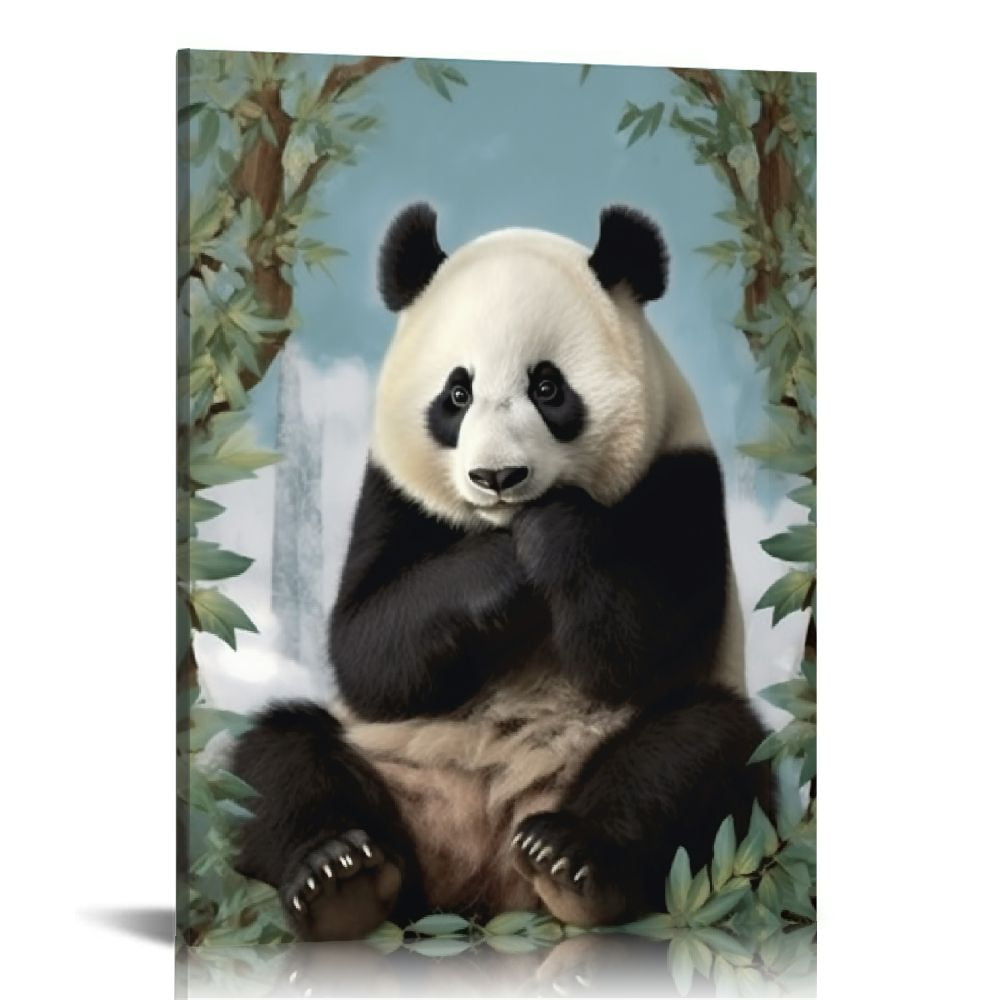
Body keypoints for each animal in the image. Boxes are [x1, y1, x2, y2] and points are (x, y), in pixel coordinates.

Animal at [231, 203, 772, 941]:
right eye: (457, 393)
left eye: (548, 387)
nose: (497, 477)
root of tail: (481, 871)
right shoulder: (392, 492)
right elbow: (366, 650)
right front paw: (499, 567)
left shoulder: (680, 473)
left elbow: (651, 647)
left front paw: (551, 536)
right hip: (386, 768)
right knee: (276, 756)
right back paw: (339, 876)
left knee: (700, 748)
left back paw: (570, 860)